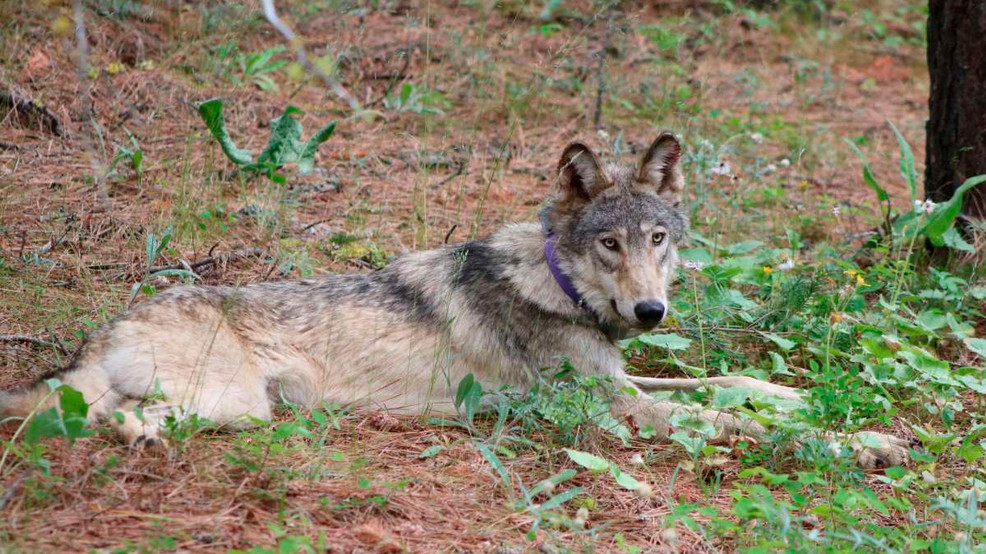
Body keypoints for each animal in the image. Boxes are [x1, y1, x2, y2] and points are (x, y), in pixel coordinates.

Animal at [0, 132, 910, 469]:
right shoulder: (614, 410)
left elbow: (732, 386)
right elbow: (727, 421)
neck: (557, 285)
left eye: (658, 238)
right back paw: (133, 439)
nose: (651, 314)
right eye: (609, 245)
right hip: (234, 405)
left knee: (89, 410)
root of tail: (110, 324)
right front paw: (860, 441)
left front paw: (801, 399)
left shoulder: (620, 382)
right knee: (101, 418)